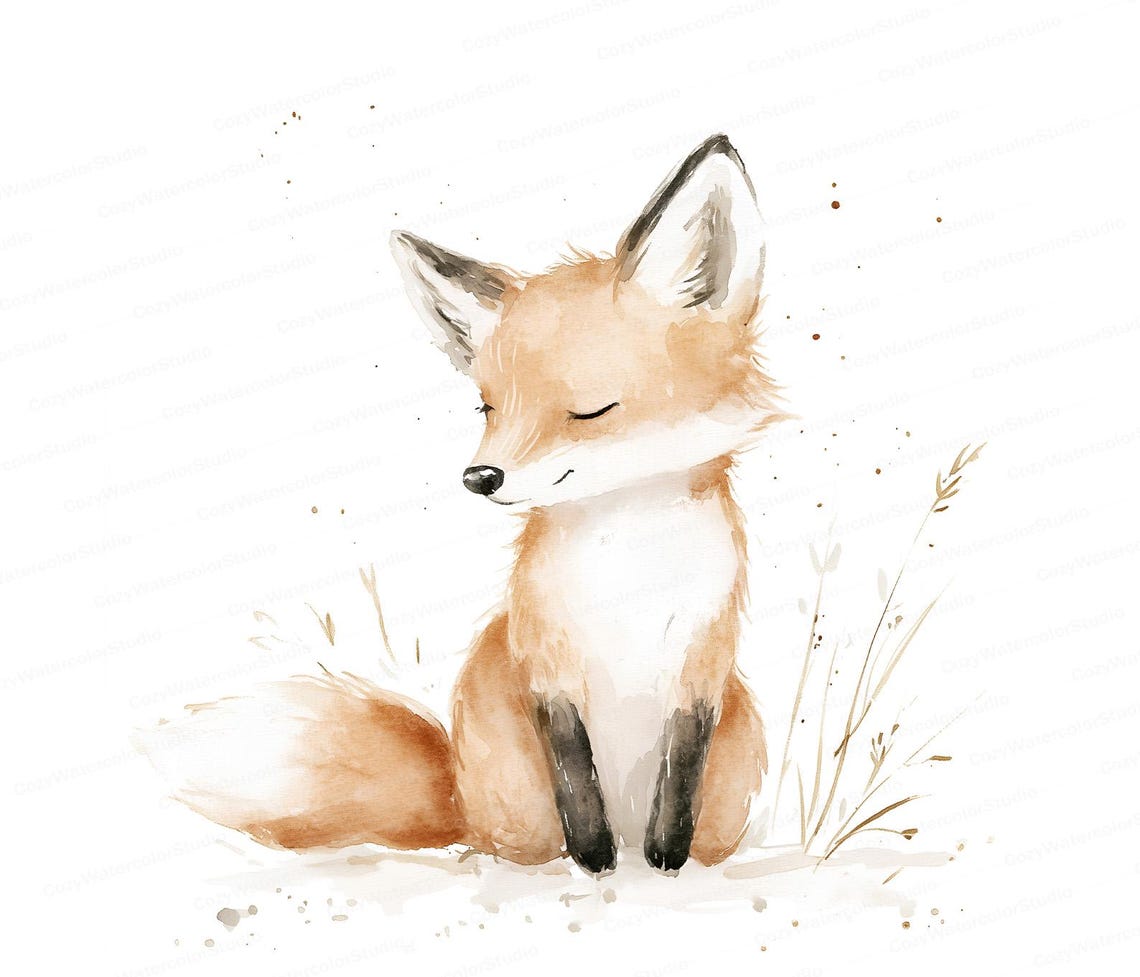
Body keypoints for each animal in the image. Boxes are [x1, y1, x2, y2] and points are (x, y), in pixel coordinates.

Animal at [139, 134, 783, 875]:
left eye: (591, 409)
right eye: (488, 407)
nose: (481, 476)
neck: (628, 568)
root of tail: (460, 799)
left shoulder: (702, 669)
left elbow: (679, 781)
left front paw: (664, 864)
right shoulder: (544, 665)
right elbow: (576, 780)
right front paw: (594, 863)